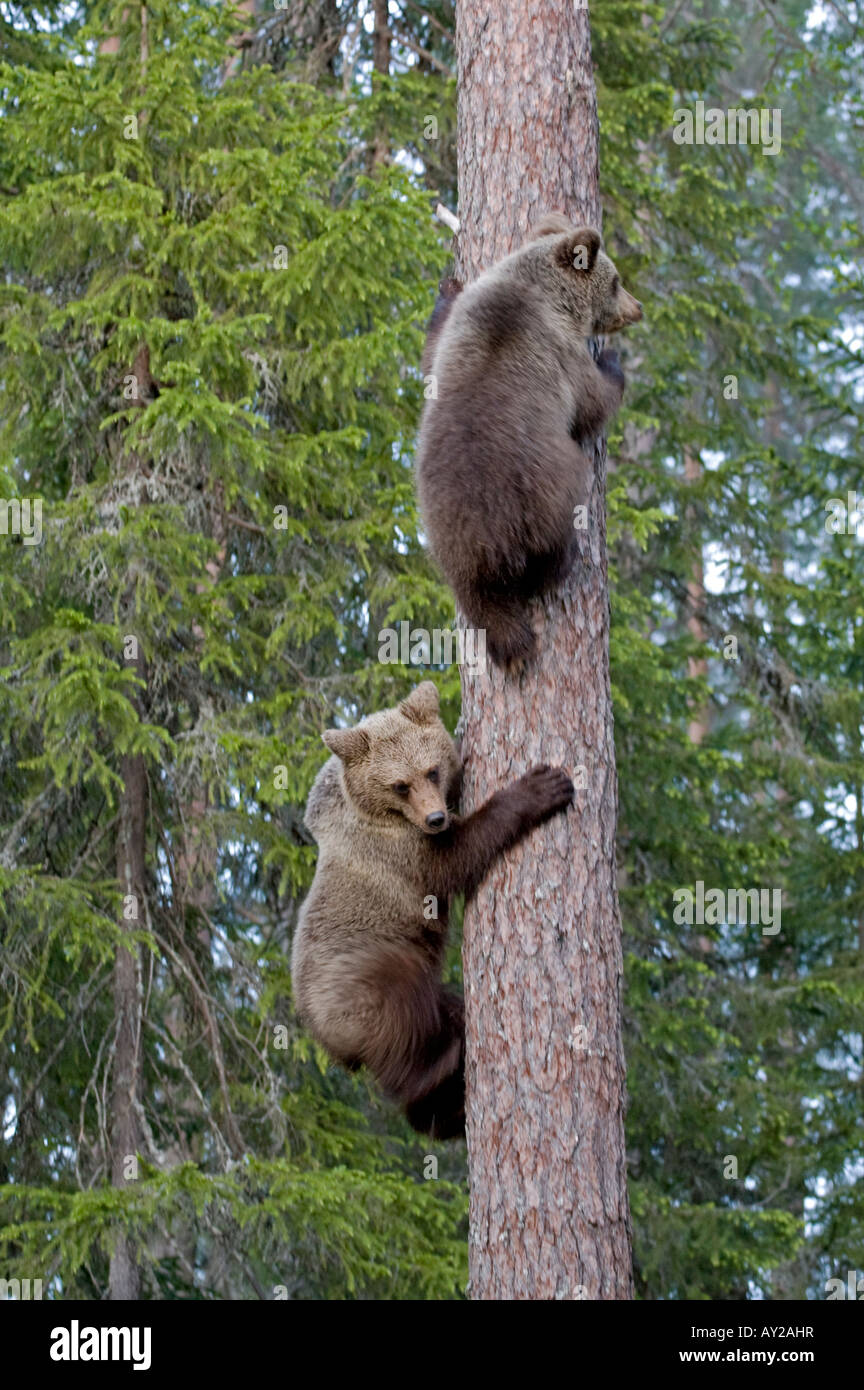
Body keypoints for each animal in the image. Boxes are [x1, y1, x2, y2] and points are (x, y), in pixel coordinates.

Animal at [290, 680, 574, 1139]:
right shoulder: (403, 854)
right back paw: (443, 1076)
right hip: (376, 973)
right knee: (415, 1027)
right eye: (399, 785)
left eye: (432, 771)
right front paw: (542, 787)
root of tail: (328, 1041)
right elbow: (458, 857)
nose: (436, 818)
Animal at [415, 212, 642, 669]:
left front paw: (446, 287)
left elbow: (433, 349)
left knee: (475, 592)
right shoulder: (562, 354)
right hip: (544, 491)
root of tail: (489, 538)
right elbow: (592, 401)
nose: (638, 308)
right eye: (616, 281)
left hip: (444, 527)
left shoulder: (461, 330)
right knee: (550, 552)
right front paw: (612, 363)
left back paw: (507, 641)